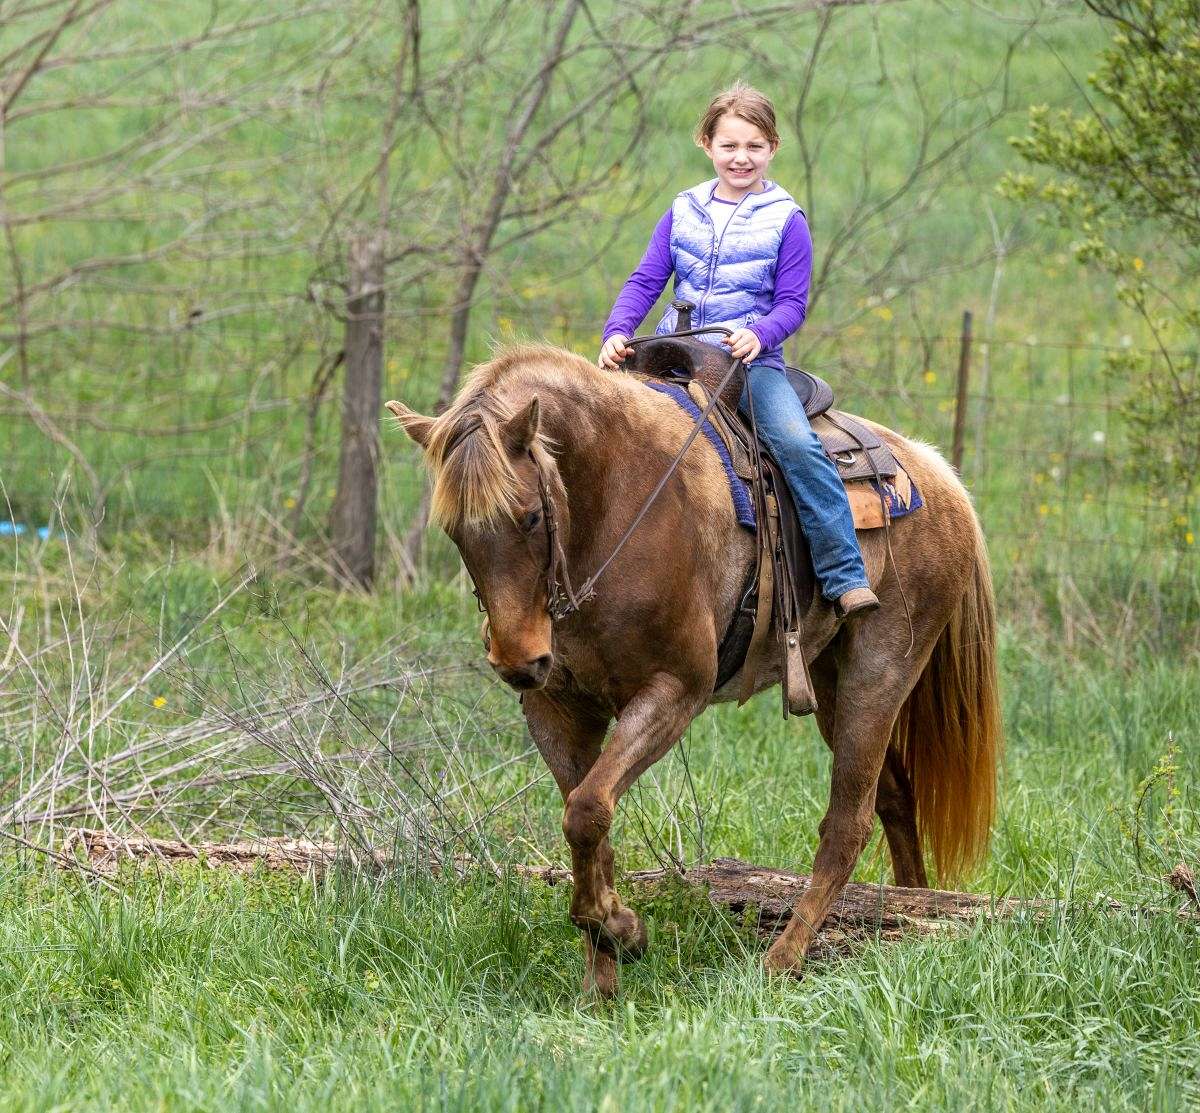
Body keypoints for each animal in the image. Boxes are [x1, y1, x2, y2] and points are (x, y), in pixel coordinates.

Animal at [386, 342, 1000, 997]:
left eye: (529, 516)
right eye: (455, 530)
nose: (517, 662)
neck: (614, 505)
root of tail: (939, 476)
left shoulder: (674, 692)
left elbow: (587, 810)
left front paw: (622, 931)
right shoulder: (557, 708)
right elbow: (586, 819)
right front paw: (602, 973)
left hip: (879, 672)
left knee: (848, 822)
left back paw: (784, 958)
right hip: (831, 681)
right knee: (893, 799)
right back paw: (915, 909)